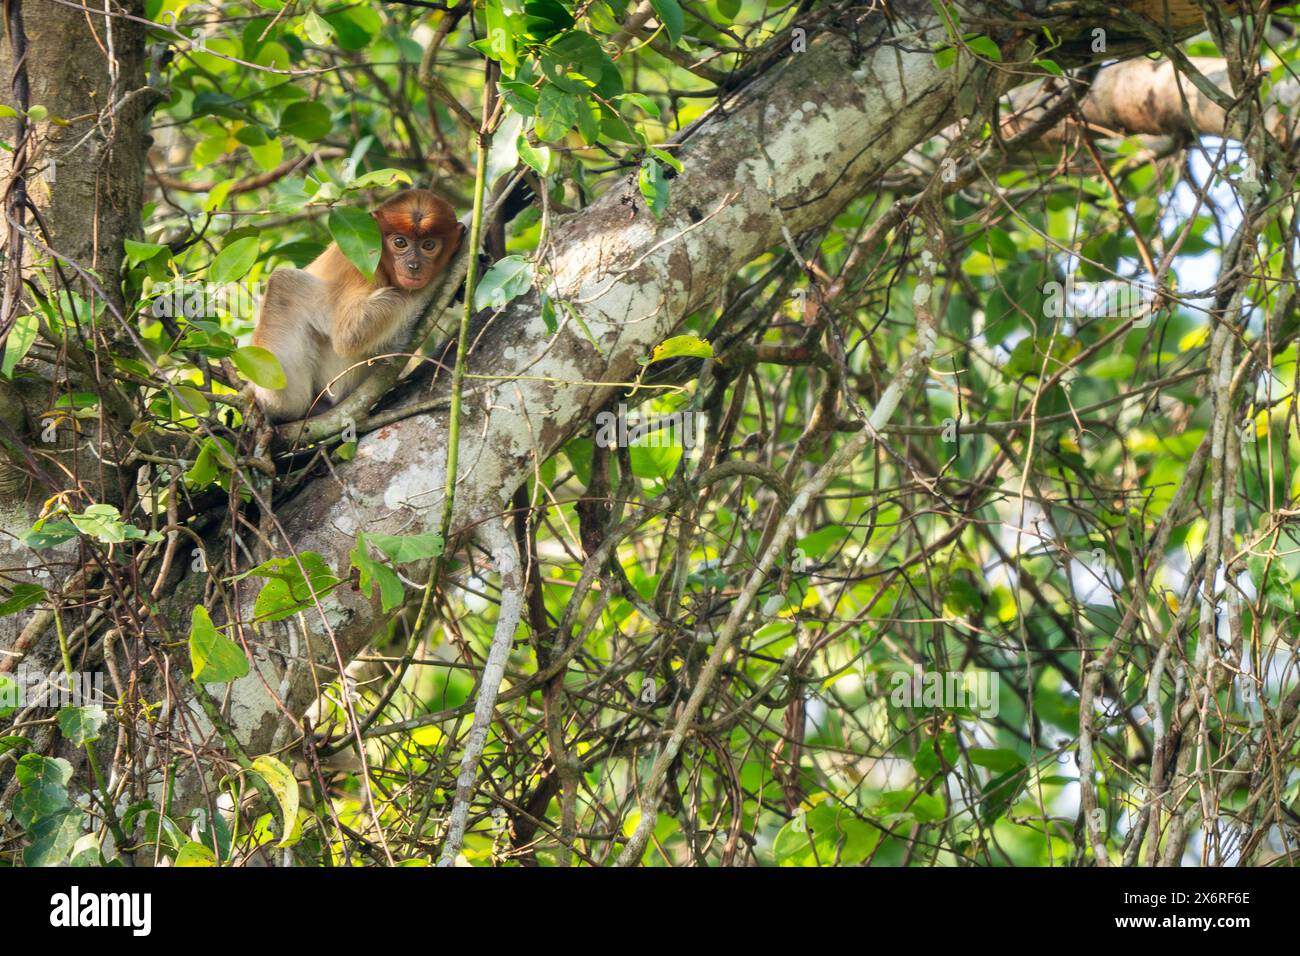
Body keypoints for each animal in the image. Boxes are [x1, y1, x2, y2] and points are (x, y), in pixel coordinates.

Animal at [251, 189, 465, 422]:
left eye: (429, 245)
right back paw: (285, 412)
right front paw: (454, 266)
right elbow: (350, 334)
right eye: (400, 242)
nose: (414, 266)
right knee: (284, 283)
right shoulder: (362, 264)